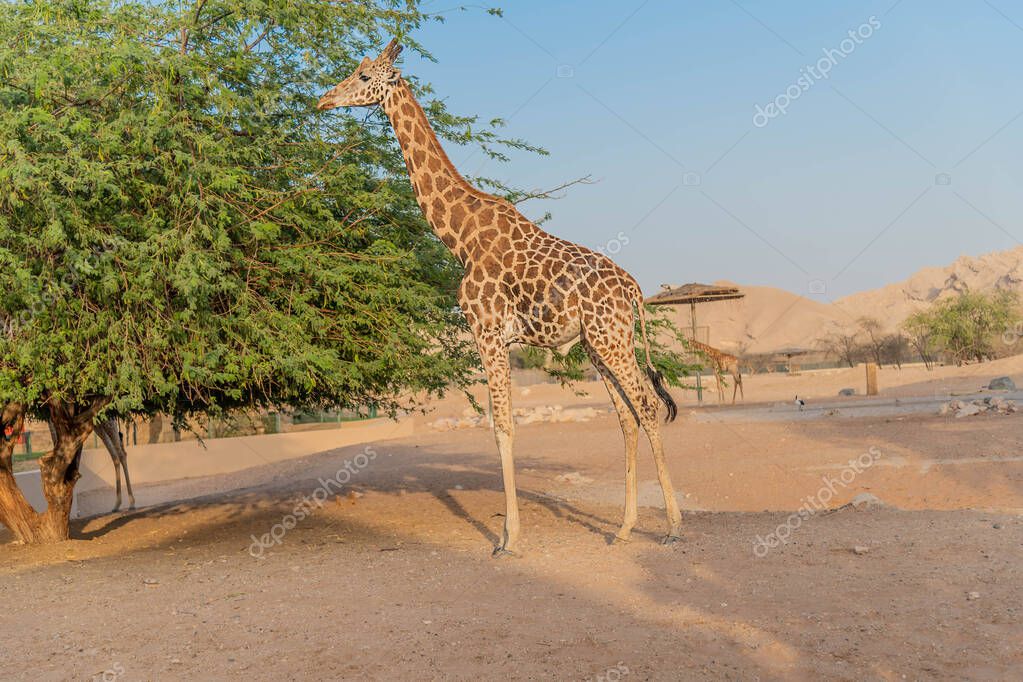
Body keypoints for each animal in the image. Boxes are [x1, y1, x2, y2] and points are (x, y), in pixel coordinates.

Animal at [318, 40, 684, 555]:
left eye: (363, 74)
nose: (324, 99)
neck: (460, 238)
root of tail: (632, 287)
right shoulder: (499, 338)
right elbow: (505, 425)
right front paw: (511, 533)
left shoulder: (486, 332)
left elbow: (502, 428)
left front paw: (509, 539)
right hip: (599, 344)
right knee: (628, 417)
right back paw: (624, 528)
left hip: (610, 338)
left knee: (648, 408)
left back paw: (672, 527)